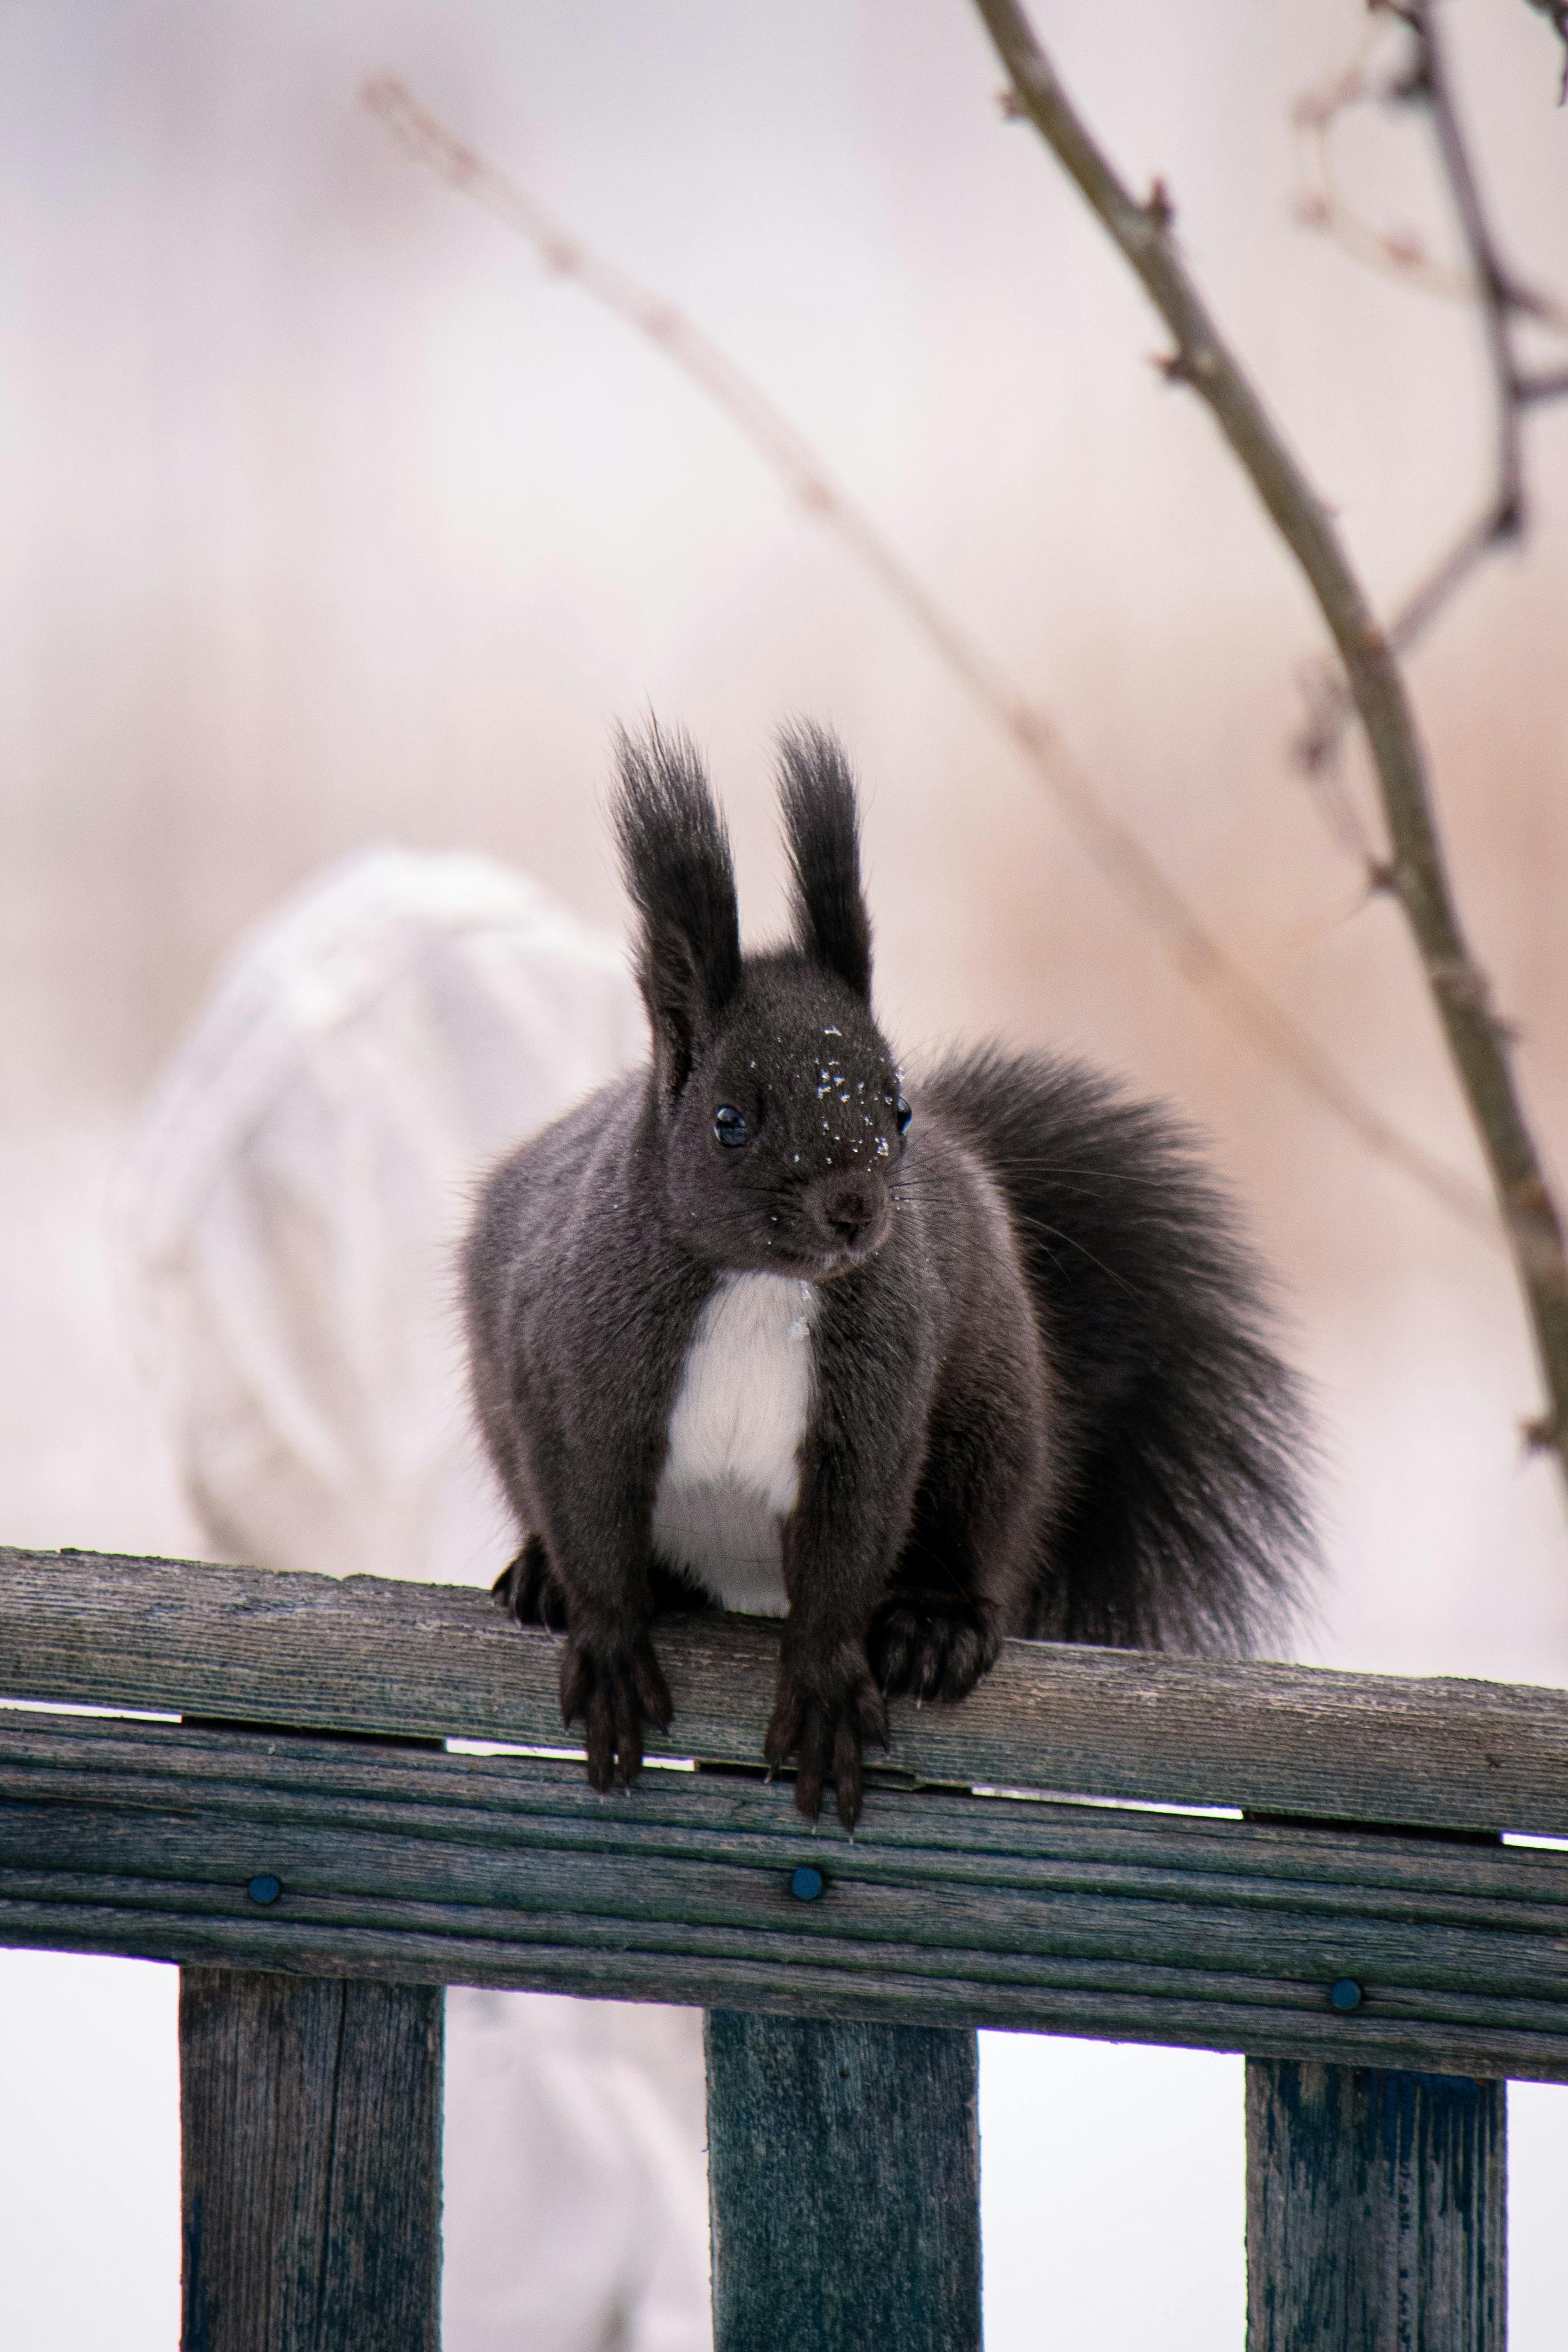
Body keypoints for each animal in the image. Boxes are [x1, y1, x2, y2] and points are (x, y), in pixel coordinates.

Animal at [462, 723, 1311, 1827]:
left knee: (970, 1527)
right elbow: (589, 1508)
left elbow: (848, 1542)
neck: (761, 1285)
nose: (856, 1205)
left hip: (990, 1423)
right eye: (729, 1119)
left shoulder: (872, 1393)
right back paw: (543, 1580)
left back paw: (934, 1623)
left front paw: (828, 1682)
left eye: (897, 1108)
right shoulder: (580, 1365)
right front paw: (604, 1640)